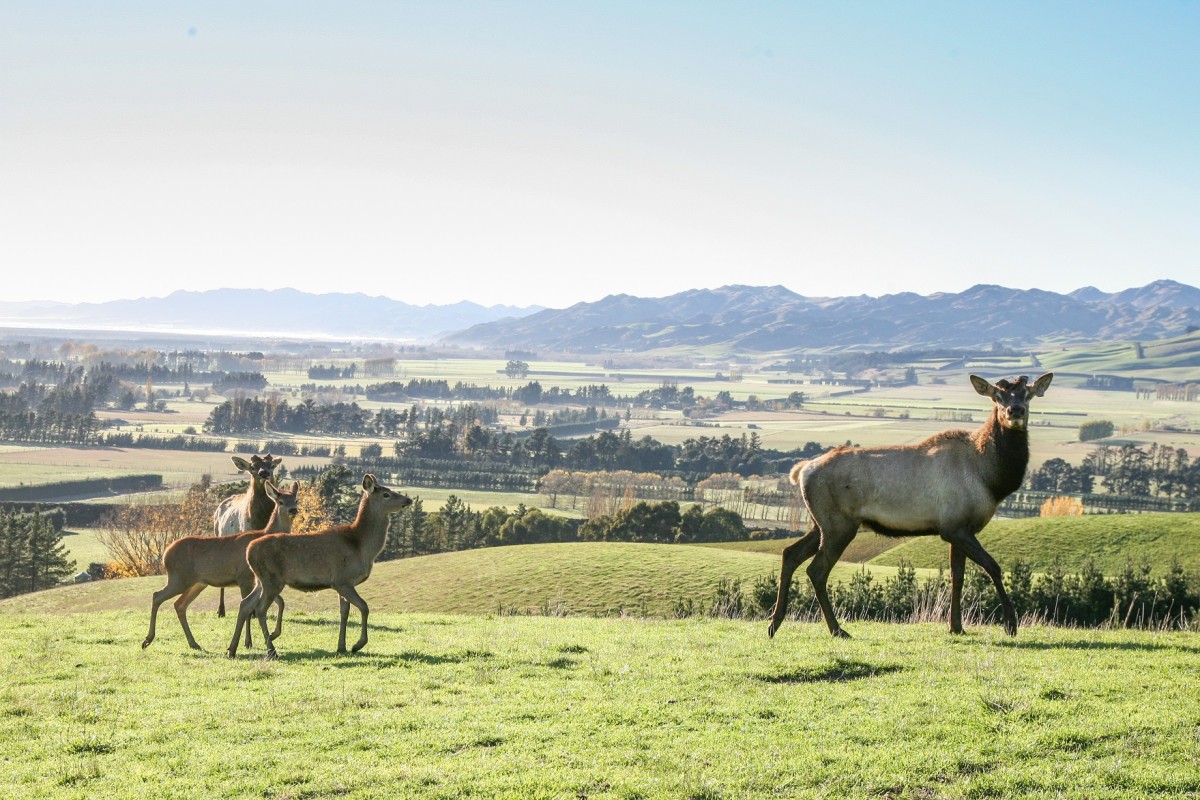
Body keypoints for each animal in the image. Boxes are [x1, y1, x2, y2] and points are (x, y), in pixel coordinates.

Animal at [143, 480, 301, 651]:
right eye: (281, 501)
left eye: (296, 499)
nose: (293, 510)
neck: (263, 534)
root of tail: (165, 555)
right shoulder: (245, 577)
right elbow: (248, 609)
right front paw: (248, 642)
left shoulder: (260, 580)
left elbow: (281, 602)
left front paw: (273, 634)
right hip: (179, 578)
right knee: (157, 596)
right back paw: (148, 640)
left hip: (197, 583)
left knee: (179, 604)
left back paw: (194, 643)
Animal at [212, 453, 282, 617]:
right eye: (253, 467)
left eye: (272, 465)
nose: (264, 473)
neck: (261, 521)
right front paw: (253, 612)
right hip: (217, 535)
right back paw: (221, 610)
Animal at [227, 474, 413, 660]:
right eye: (386, 494)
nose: (408, 500)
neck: (361, 547)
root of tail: (249, 551)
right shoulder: (342, 579)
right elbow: (364, 607)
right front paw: (357, 645)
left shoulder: (343, 584)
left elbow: (344, 612)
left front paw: (341, 647)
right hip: (272, 580)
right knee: (260, 609)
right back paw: (271, 649)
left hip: (261, 580)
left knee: (245, 604)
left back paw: (232, 649)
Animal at [768, 373, 1054, 640]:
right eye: (998, 396)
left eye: (1026, 394)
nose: (1015, 411)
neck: (990, 479)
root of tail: (802, 471)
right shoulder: (954, 527)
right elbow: (992, 566)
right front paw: (1010, 624)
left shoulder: (958, 527)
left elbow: (957, 576)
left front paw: (956, 626)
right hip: (838, 525)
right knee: (816, 570)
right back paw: (836, 629)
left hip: (821, 523)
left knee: (790, 553)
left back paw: (775, 622)